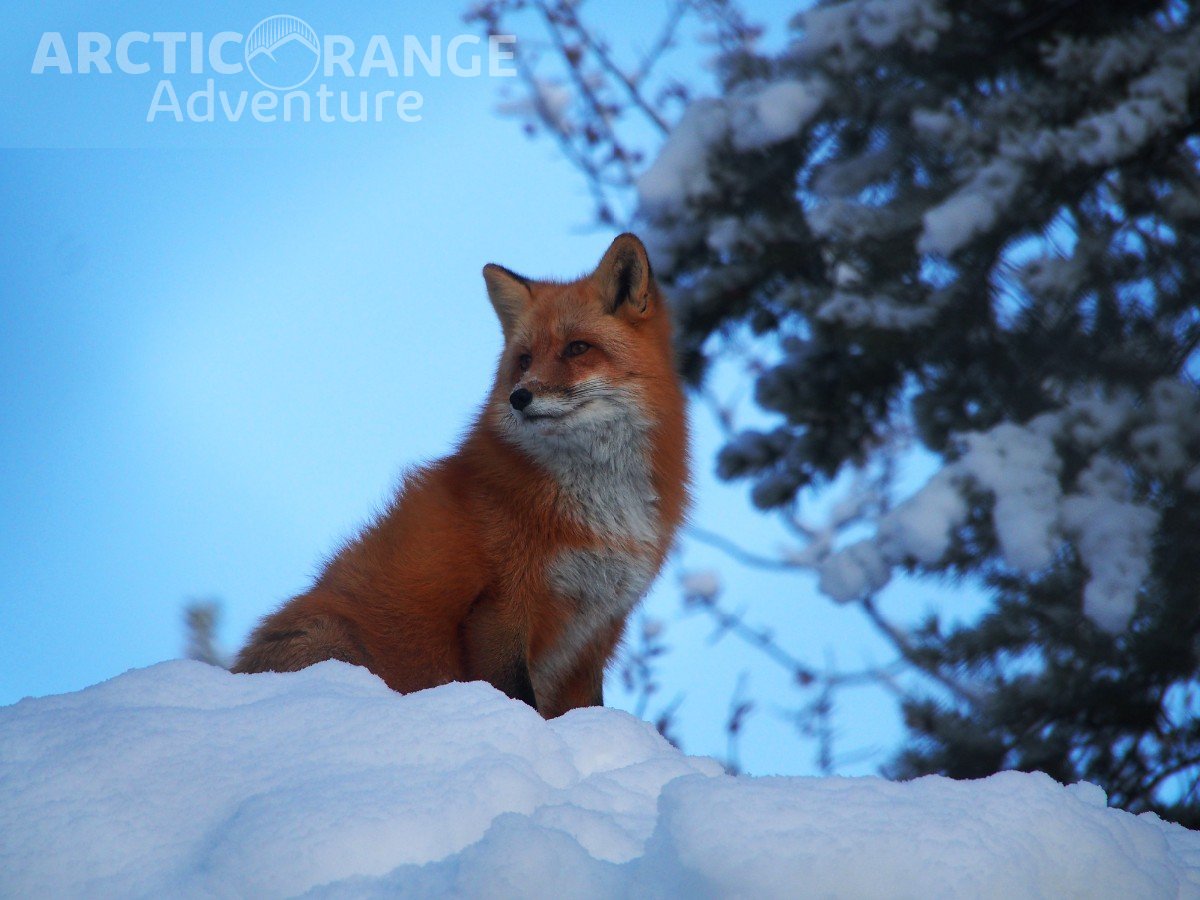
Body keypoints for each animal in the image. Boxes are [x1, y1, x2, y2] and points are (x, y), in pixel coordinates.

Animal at [232, 233, 689, 718]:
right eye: (524, 359)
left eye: (577, 348)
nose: (519, 397)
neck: (600, 511)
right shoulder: (499, 609)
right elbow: (516, 696)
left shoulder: (596, 633)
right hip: (331, 638)